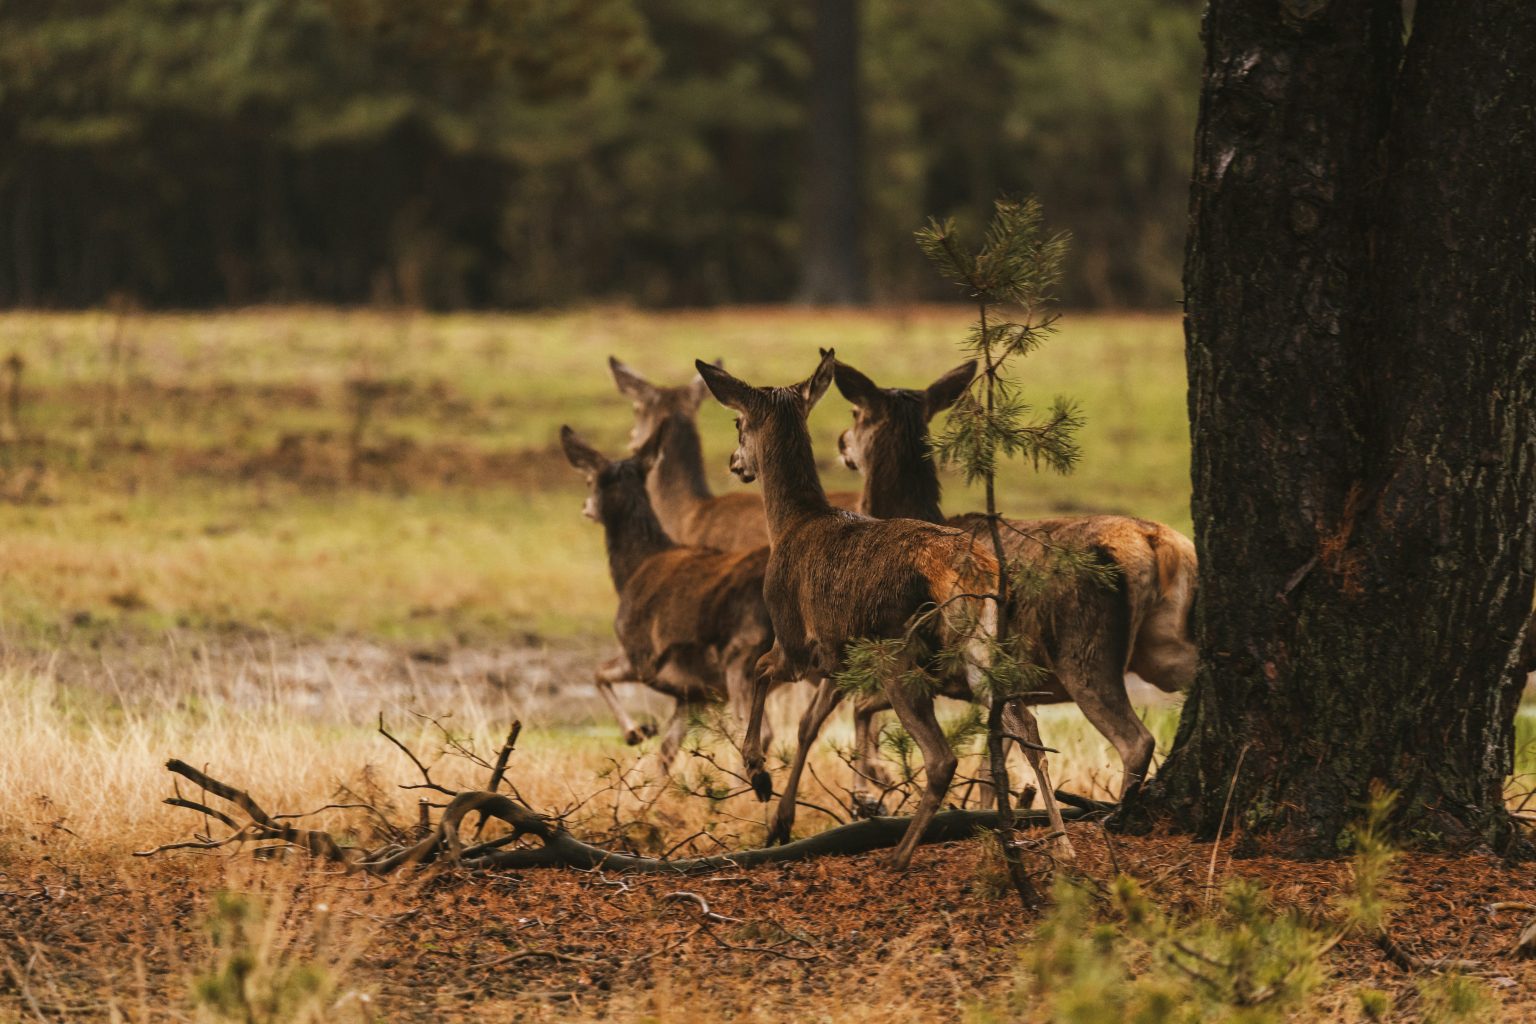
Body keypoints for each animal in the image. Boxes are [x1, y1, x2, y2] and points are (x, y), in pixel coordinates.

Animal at [560, 424, 785, 767]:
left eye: (589, 480)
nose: (585, 507)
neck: (633, 571)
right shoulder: (691, 693)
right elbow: (666, 752)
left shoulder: (642, 656)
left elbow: (598, 673)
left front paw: (635, 732)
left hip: (742, 655)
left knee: (757, 733)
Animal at [696, 350, 1068, 870]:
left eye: (736, 423)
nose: (735, 464)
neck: (790, 524)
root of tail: (974, 573)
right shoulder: (839, 659)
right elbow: (810, 724)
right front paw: (785, 814)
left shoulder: (796, 639)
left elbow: (761, 671)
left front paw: (759, 776)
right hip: (982, 652)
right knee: (1024, 726)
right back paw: (1062, 842)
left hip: (900, 654)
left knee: (942, 756)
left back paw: (900, 855)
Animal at [829, 354, 1199, 802]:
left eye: (855, 412)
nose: (842, 442)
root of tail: (1156, 544)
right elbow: (993, 767)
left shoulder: (928, 659)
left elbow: (861, 706)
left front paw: (869, 788)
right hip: (1163, 646)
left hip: (1084, 649)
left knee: (1136, 739)